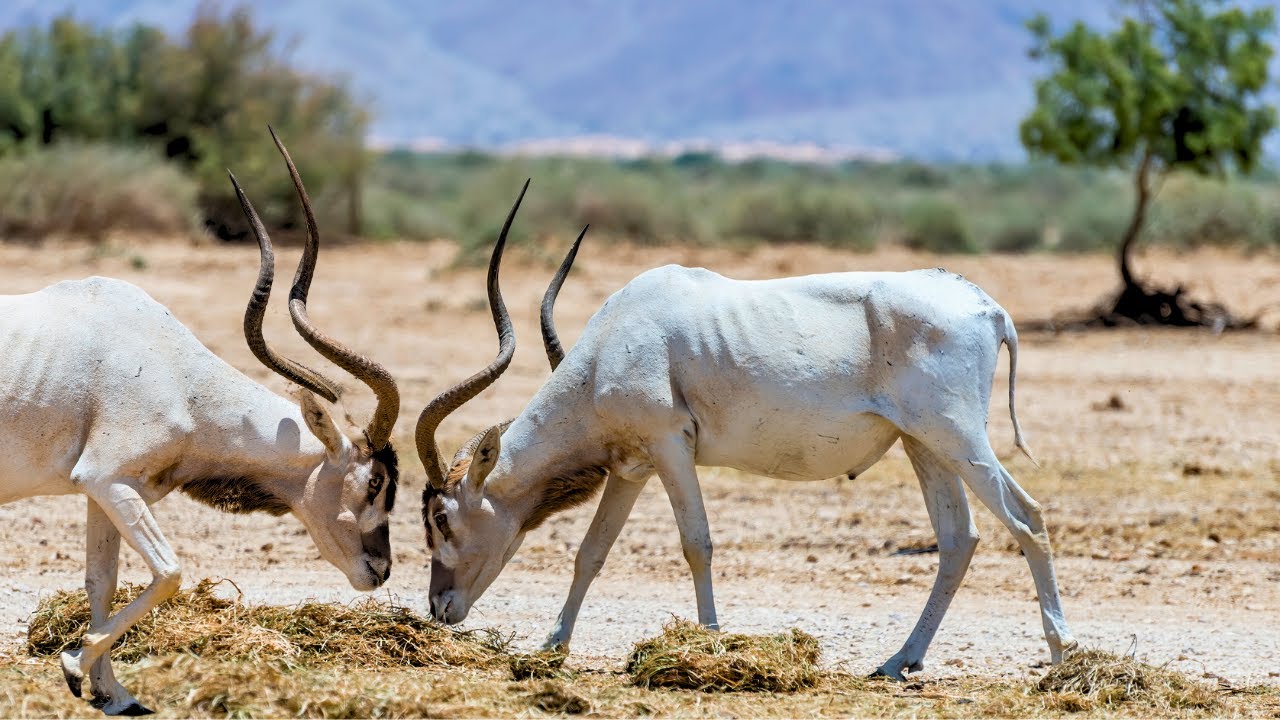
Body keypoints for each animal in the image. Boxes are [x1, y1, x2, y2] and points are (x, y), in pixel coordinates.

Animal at [0, 130, 401, 715]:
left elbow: (102, 582)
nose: (382, 569)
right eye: (374, 482)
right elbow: (170, 571)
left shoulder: (105, 489)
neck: (177, 373)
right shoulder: (108, 480)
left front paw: (112, 692)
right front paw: (74, 665)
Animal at [418, 184, 1077, 678]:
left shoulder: (670, 447)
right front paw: (552, 646)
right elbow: (591, 553)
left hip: (959, 439)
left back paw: (1060, 654)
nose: (438, 607)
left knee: (1028, 517)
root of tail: (986, 307)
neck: (613, 342)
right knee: (959, 538)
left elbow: (697, 544)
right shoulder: (632, 468)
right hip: (924, 444)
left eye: (441, 518)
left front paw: (709, 643)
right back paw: (899, 661)